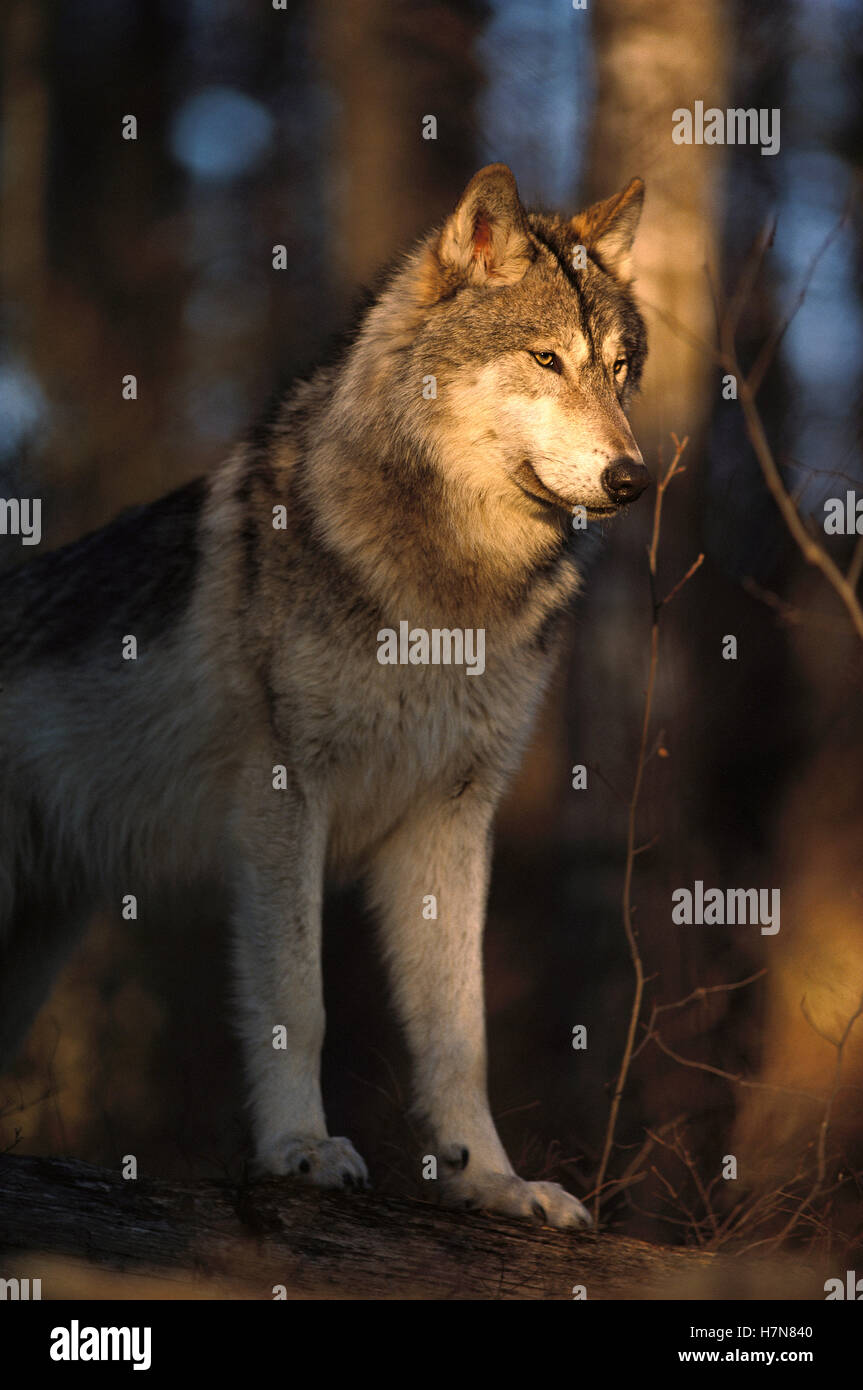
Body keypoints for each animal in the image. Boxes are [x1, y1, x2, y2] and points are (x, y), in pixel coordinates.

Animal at [0, 165, 648, 1229]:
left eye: (622, 370)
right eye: (546, 358)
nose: (632, 477)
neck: (448, 593)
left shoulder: (452, 819)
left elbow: (458, 1034)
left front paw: (491, 1182)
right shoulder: (283, 797)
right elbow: (297, 1005)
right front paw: (299, 1150)